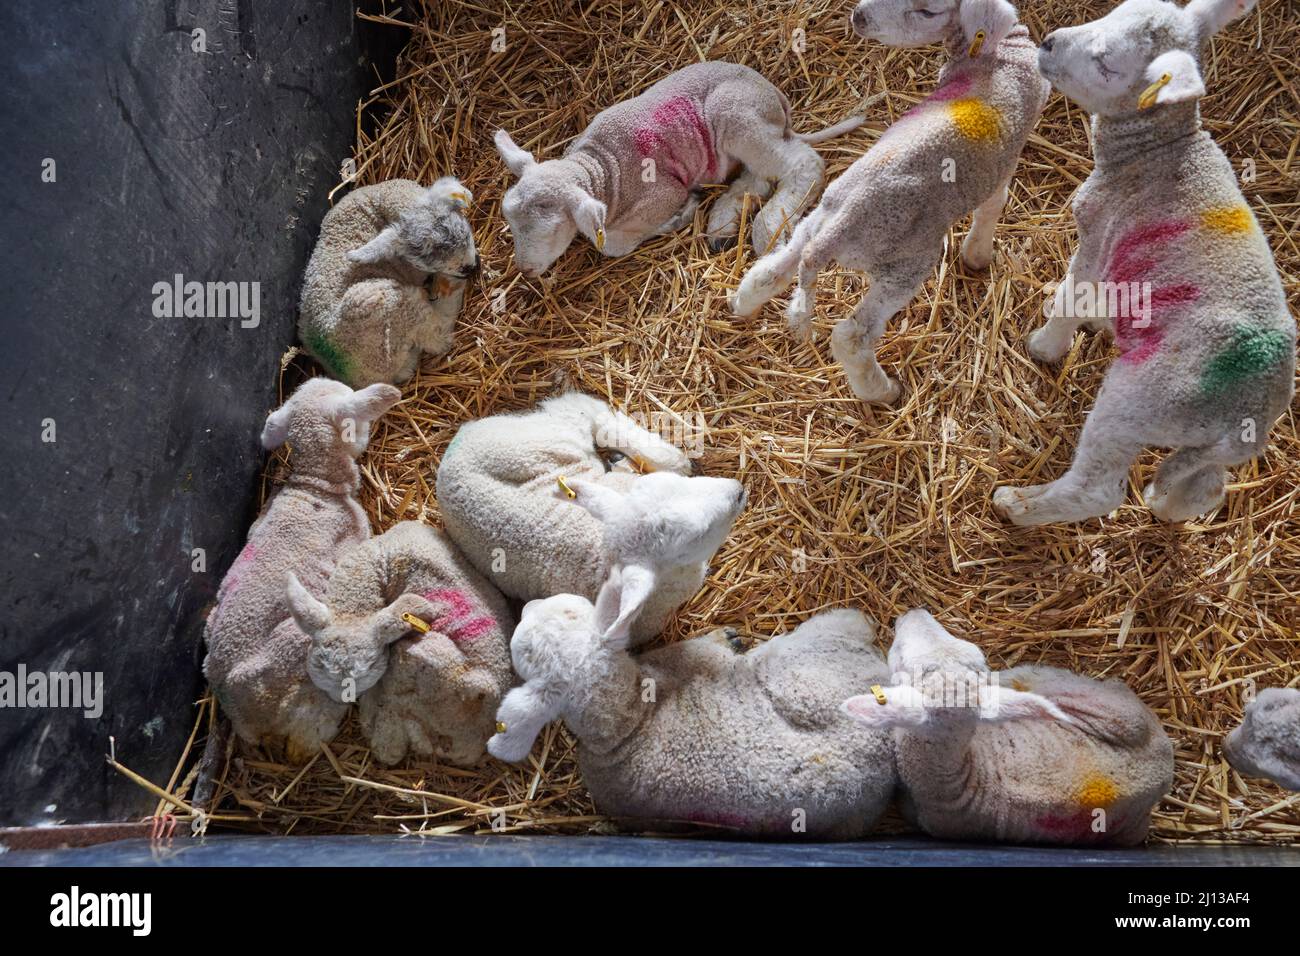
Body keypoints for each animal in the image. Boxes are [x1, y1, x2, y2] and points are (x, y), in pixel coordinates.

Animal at [298, 177, 480, 388]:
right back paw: (450, 288)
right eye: (424, 259)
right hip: (385, 304)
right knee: (438, 337)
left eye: (464, 233)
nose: (470, 268)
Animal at [493, 61, 864, 277]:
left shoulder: (663, 192)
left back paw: (768, 229)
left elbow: (611, 245)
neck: (602, 167)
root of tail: (777, 98)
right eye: (509, 220)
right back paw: (723, 224)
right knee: (758, 175)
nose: (524, 271)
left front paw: (681, 215)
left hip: (737, 115)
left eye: (553, 228)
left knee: (804, 164)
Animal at [731, 0, 1049, 405]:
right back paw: (882, 391)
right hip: (903, 267)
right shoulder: (1004, 162)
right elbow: (992, 207)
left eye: (928, 12)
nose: (859, 17)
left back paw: (743, 307)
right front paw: (978, 256)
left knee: (773, 269)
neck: (994, 58)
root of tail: (836, 230)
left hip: (816, 220)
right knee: (851, 337)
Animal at [994, 0, 1296, 525]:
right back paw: (1164, 505)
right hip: (1197, 446)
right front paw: (1104, 321)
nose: (1047, 43)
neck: (1158, 150)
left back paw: (1020, 505)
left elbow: (1073, 294)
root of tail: (1251, 418)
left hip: (1138, 401)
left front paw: (1045, 346)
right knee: (1205, 488)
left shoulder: (1098, 231)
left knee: (1097, 489)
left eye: (1106, 63)